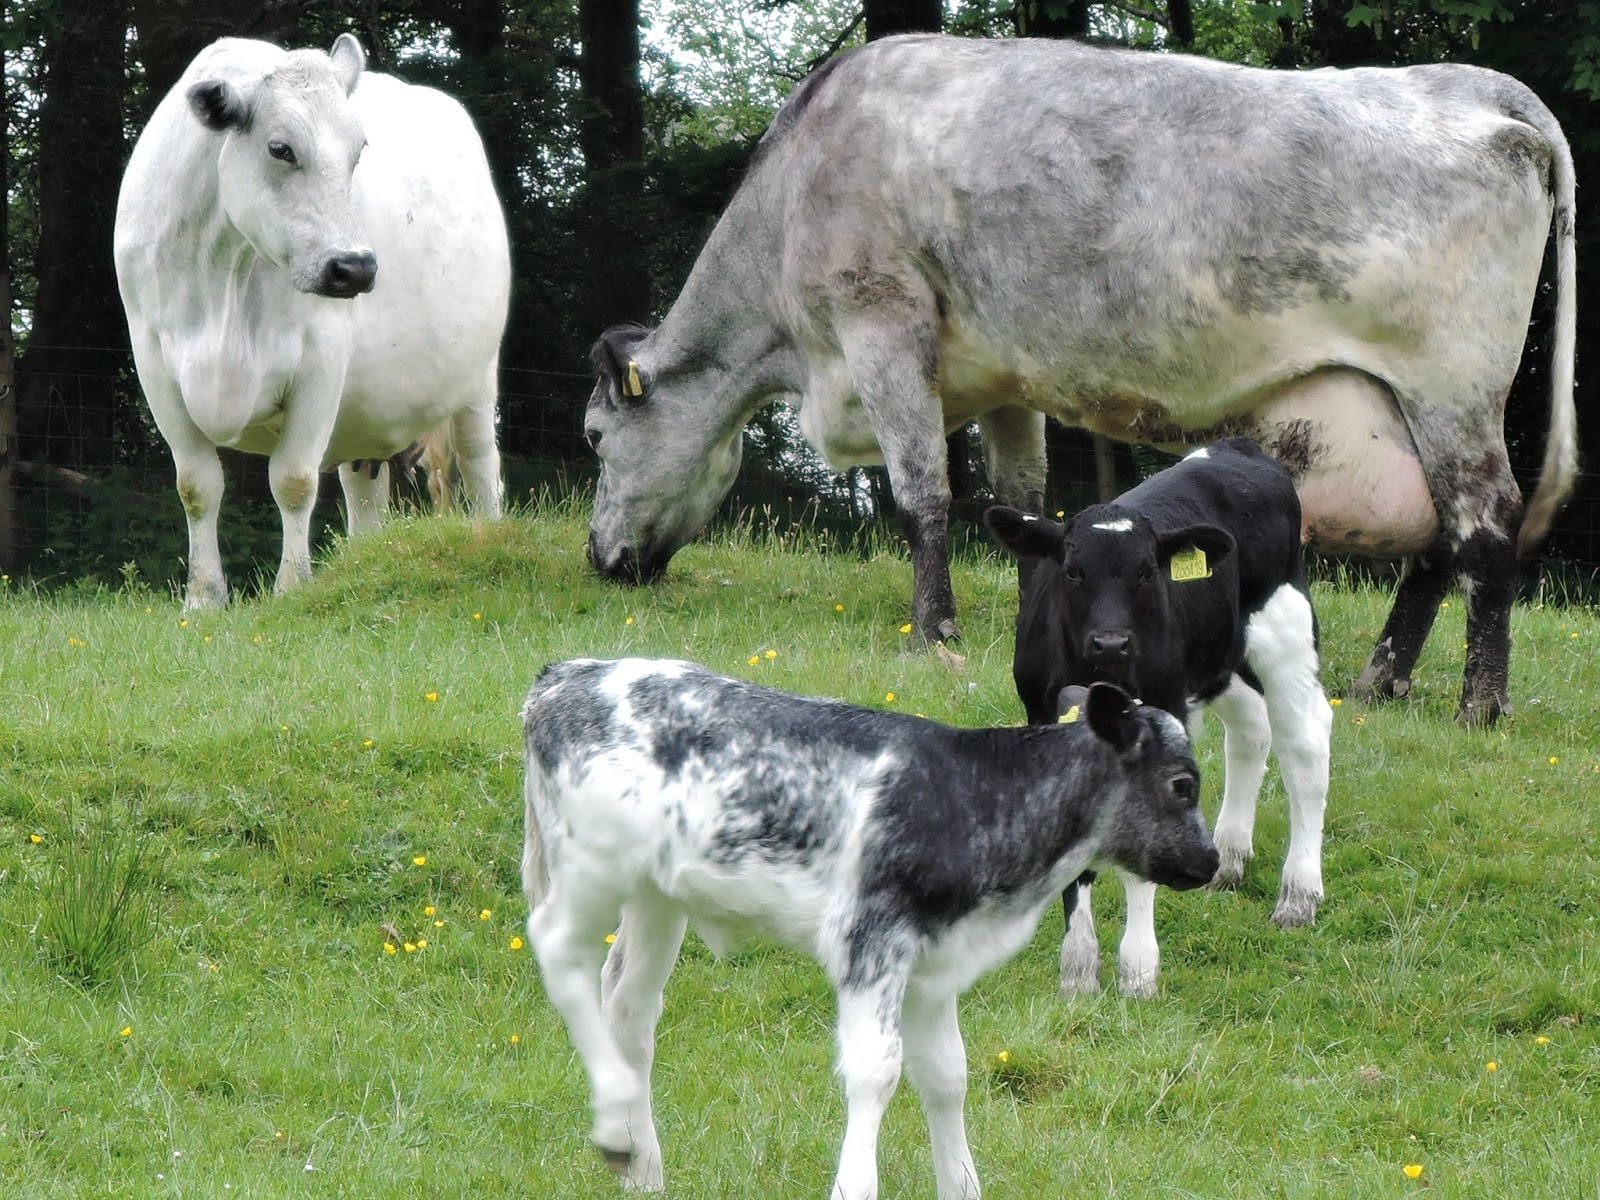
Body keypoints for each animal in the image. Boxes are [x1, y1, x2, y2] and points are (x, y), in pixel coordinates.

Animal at [114, 35, 509, 608]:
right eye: (280, 148)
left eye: (358, 150)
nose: (355, 267)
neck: (223, 270)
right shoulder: (154, 363)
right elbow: (196, 485)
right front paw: (204, 598)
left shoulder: (322, 358)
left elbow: (294, 481)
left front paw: (291, 588)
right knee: (365, 495)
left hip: (479, 376)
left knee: (481, 465)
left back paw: (486, 537)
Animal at [522, 658, 1218, 1200]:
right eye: (1182, 784)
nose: (1210, 861)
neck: (975, 796)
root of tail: (565, 675)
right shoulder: (872, 939)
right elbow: (876, 1070)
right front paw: (853, 1184)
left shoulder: (935, 965)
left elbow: (948, 1074)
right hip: (591, 868)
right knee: (558, 952)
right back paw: (614, 1127)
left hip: (658, 896)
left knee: (629, 1006)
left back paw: (643, 1164)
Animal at [580, 34, 1577, 727]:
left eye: (595, 438)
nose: (599, 559)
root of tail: (1471, 82)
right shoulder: (1002, 371)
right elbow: (1019, 500)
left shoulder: (879, 320)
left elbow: (923, 494)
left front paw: (934, 635)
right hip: (1398, 403)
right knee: (1435, 542)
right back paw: (1379, 681)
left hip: (1452, 389)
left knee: (1485, 529)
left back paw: (1479, 702)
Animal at [986, 438, 1332, 998]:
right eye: (1072, 570)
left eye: (1147, 571)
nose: (1110, 642)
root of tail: (1238, 447)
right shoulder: (1042, 716)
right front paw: (1078, 970)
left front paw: (1138, 971)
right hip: (1216, 658)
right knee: (1251, 728)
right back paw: (1228, 862)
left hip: (1285, 627)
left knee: (1305, 744)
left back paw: (1298, 896)